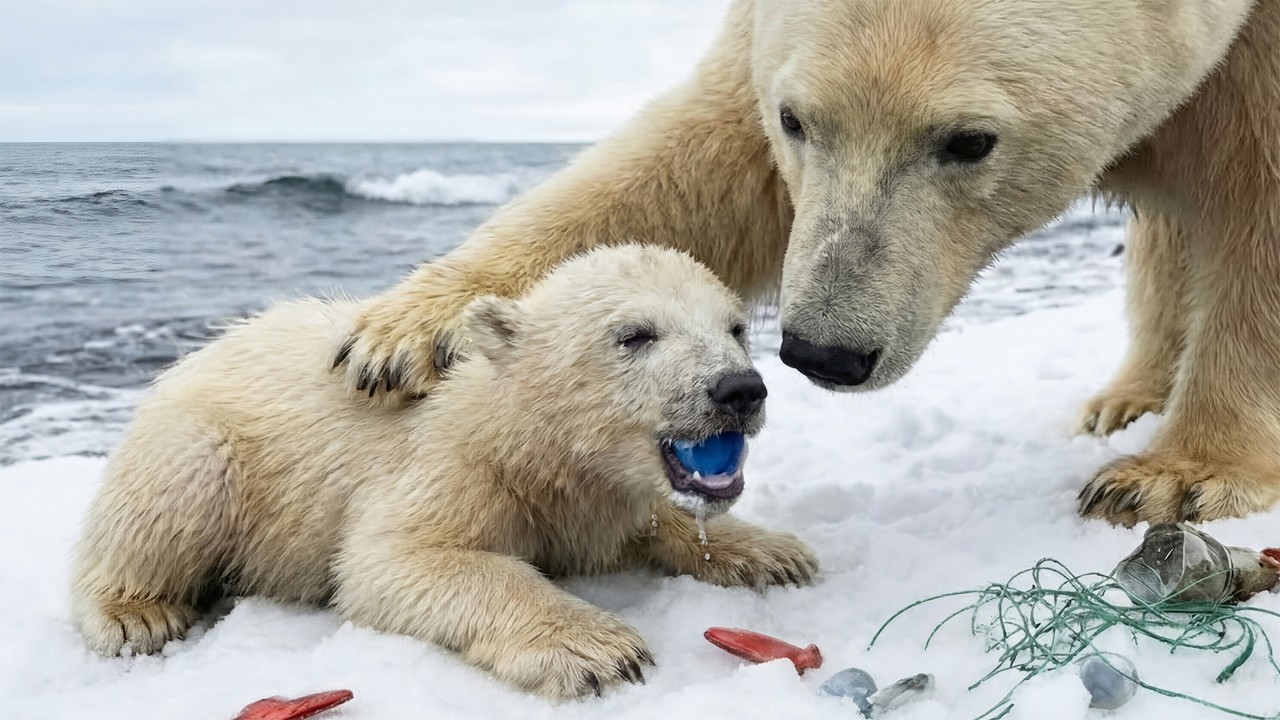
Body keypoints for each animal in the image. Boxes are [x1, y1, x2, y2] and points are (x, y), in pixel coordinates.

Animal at [70, 244, 818, 699]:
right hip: (196, 445)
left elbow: (657, 519)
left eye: (735, 327)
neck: (525, 437)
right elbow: (397, 560)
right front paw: (596, 647)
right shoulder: (450, 463)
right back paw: (136, 614)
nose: (739, 389)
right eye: (634, 335)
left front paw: (773, 553)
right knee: (175, 488)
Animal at [330, 0, 1280, 527]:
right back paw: (1126, 396)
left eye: (970, 140)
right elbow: (705, 166)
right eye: (797, 119)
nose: (824, 351)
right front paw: (408, 336)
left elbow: (1260, 213)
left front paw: (1178, 478)